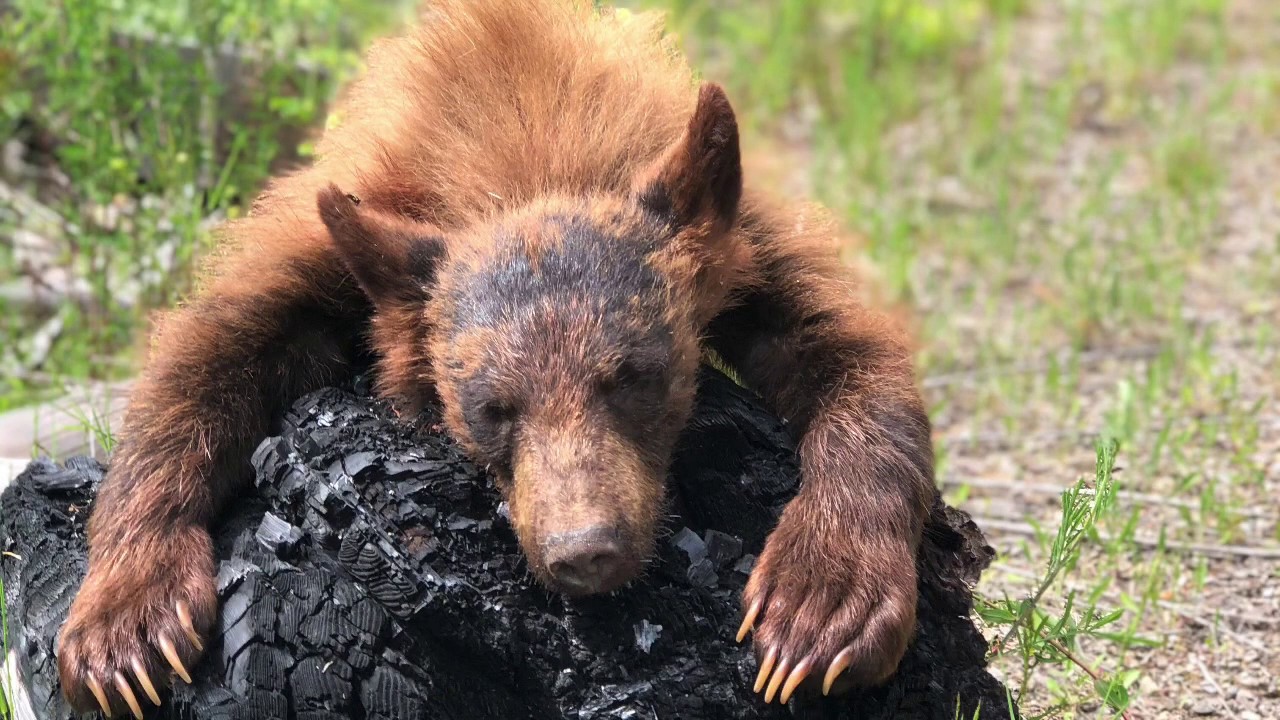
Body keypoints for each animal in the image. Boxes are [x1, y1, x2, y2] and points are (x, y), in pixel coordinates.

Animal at [55, 1, 936, 717]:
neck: (523, 153)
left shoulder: (744, 235)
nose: (587, 550)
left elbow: (852, 352)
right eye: (491, 409)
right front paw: (126, 630)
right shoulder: (334, 241)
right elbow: (206, 355)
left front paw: (821, 609)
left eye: (636, 378)